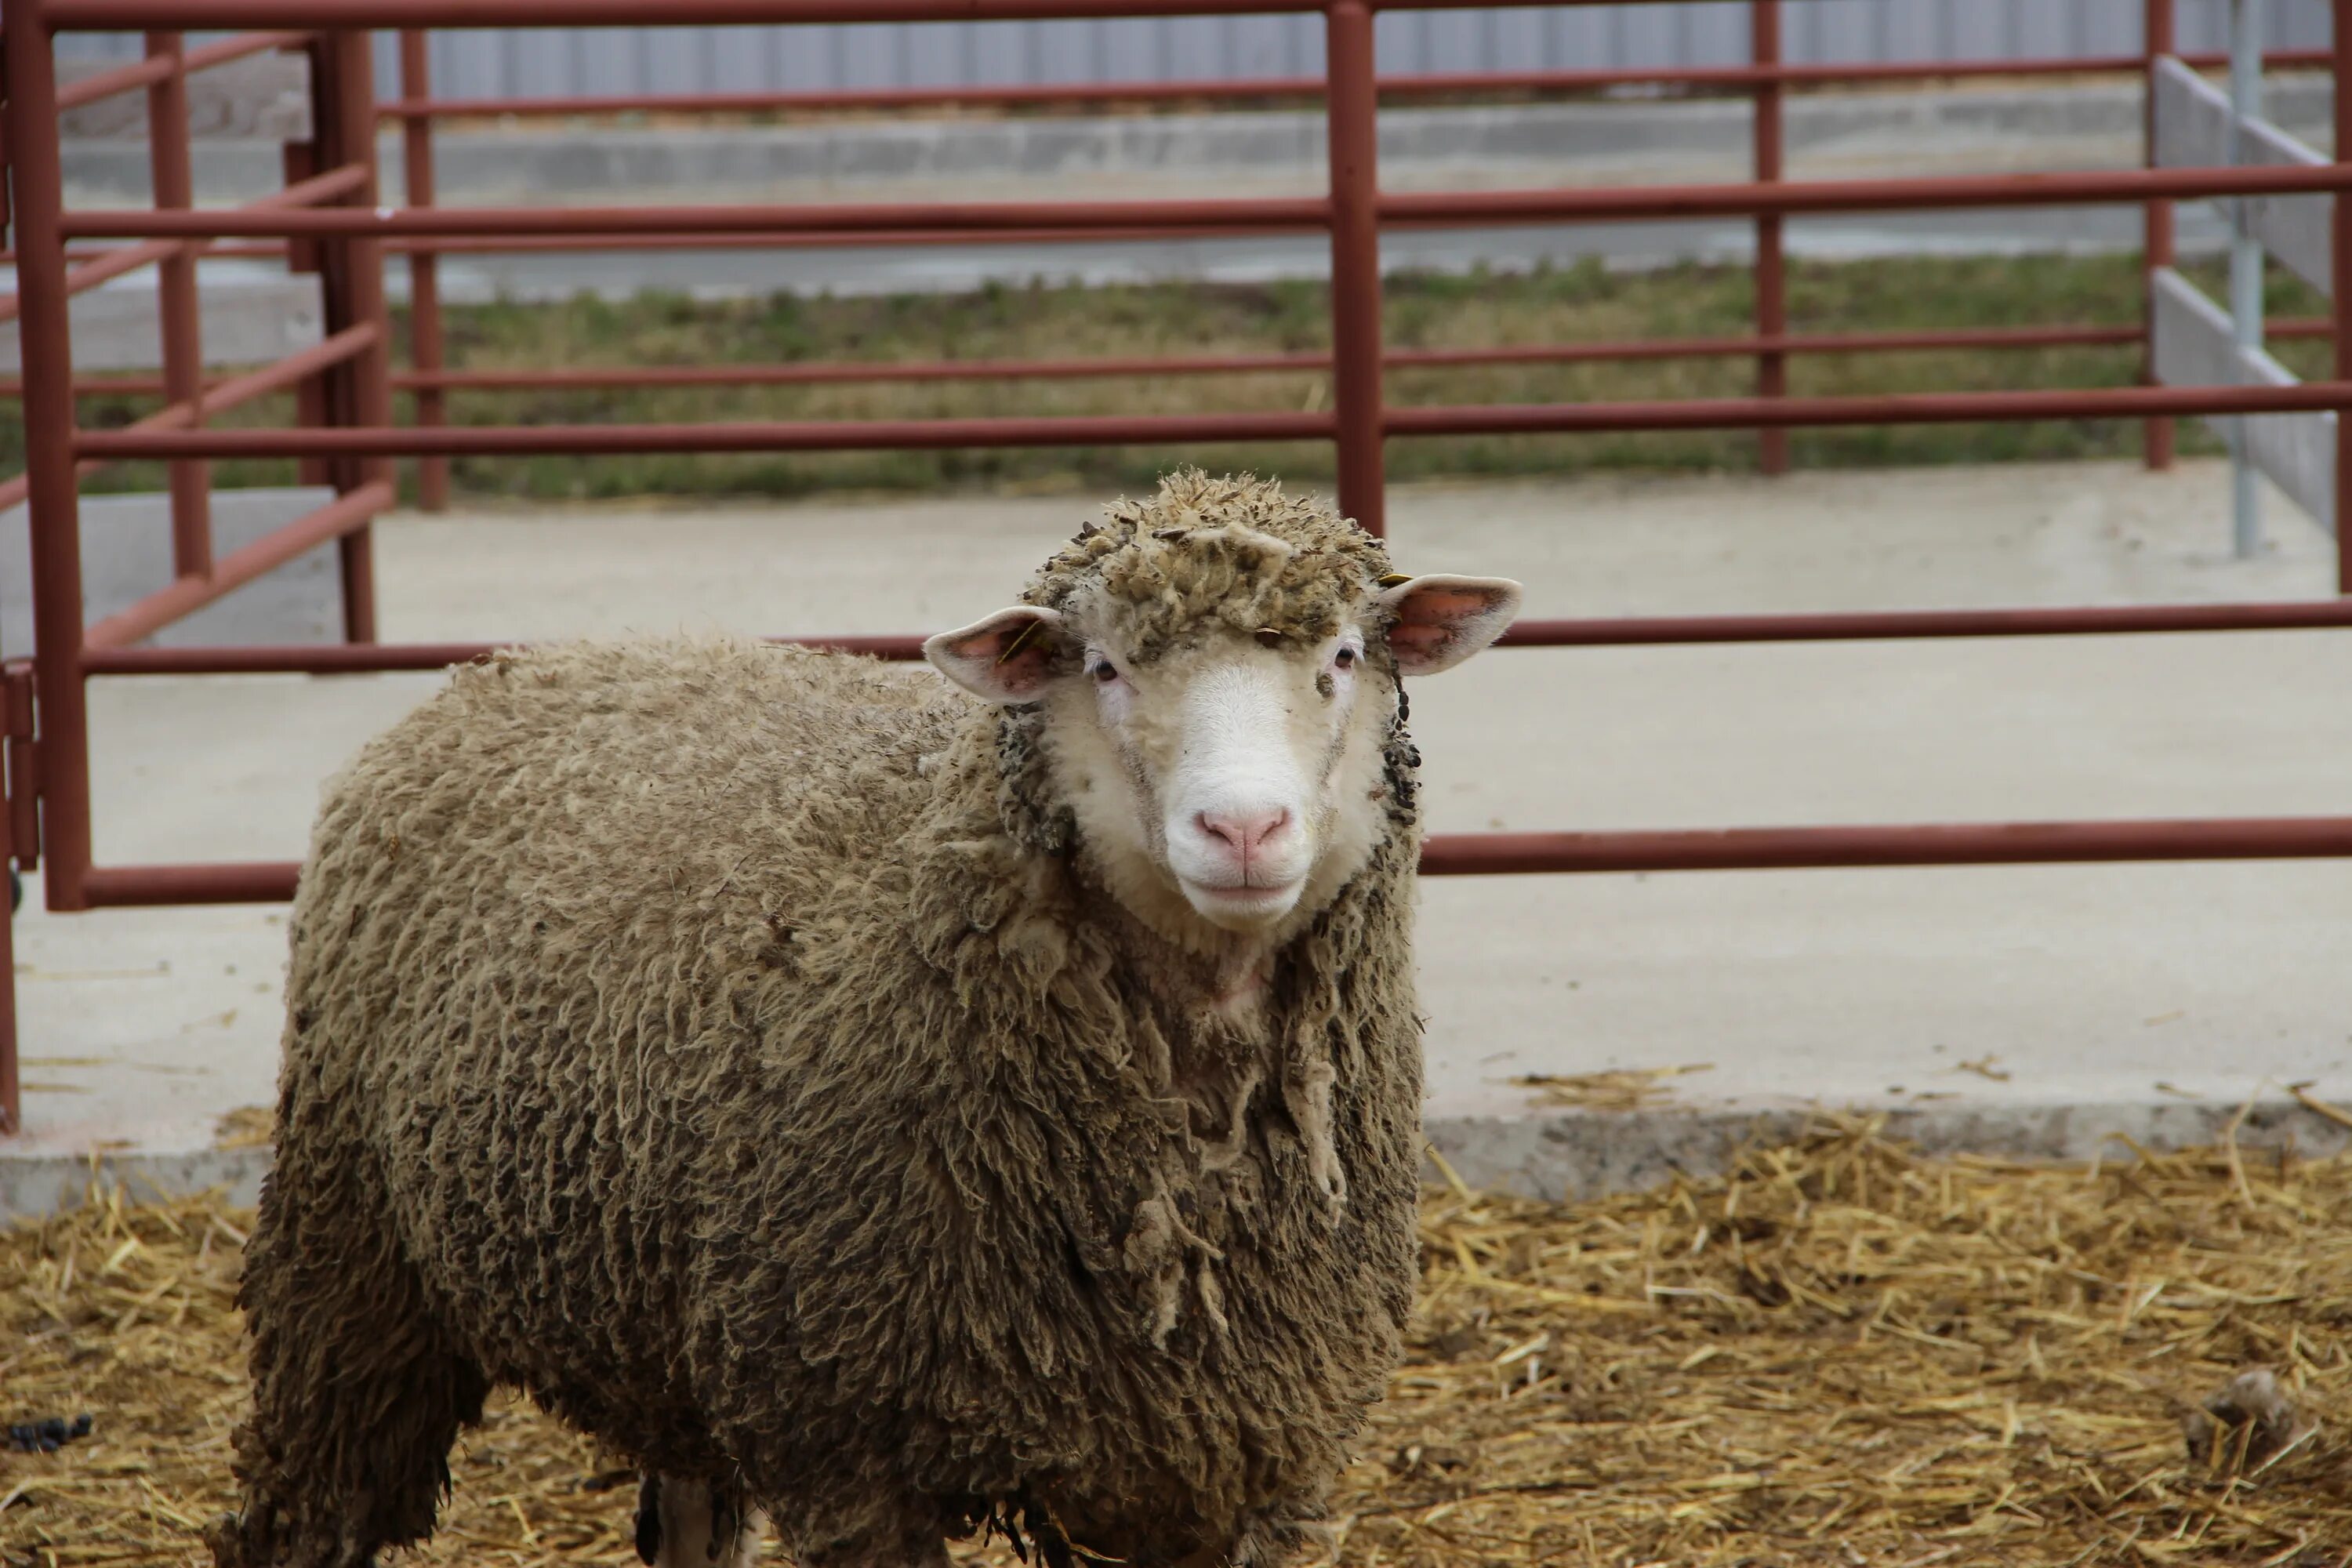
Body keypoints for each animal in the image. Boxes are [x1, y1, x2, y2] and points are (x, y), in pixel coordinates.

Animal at [216, 472, 1524, 1568]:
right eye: (1102, 668)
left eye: (1344, 655)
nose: (1244, 831)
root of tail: (520, 660)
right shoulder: (846, 1445)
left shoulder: (1238, 1463)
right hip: (353, 1257)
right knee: (303, 1513)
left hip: (674, 1328)